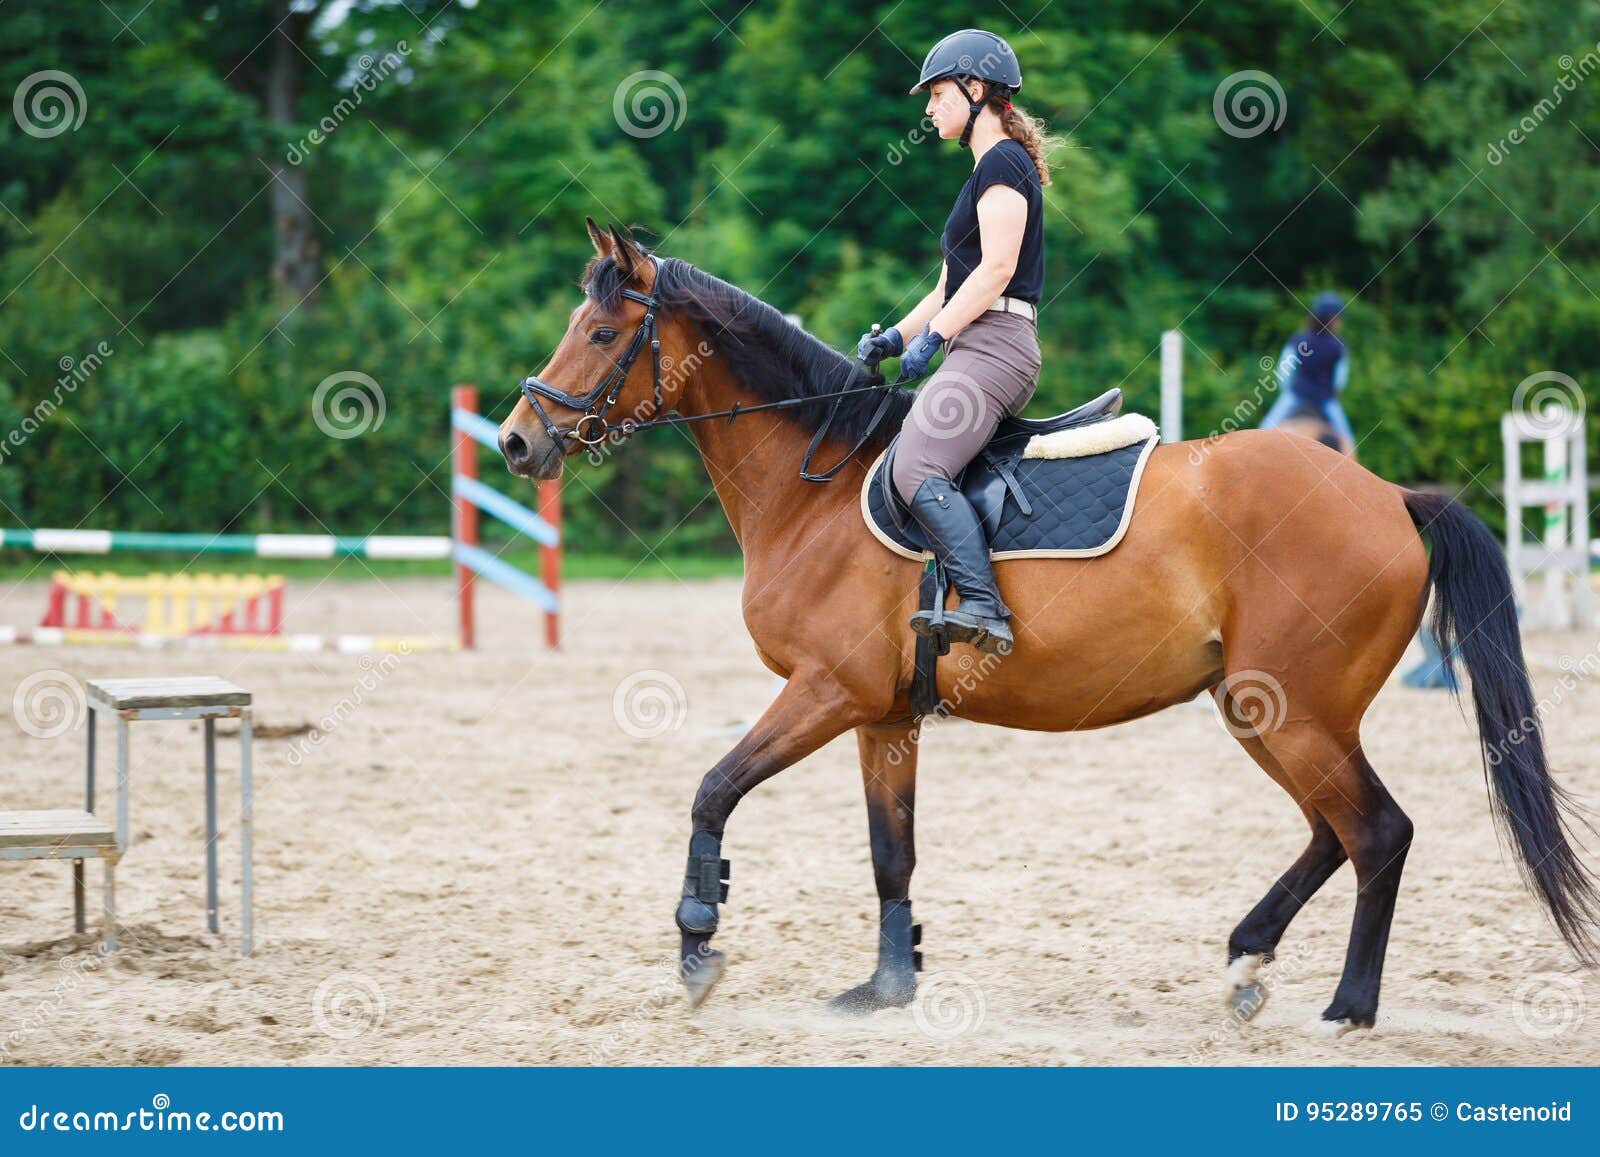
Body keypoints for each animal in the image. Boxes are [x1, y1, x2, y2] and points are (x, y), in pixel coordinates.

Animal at [497, 220, 1599, 1035]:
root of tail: (1391, 497)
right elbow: (891, 851)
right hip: (1267, 710)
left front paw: (696, 942)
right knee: (1336, 831)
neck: (821, 482)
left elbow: (712, 789)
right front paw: (888, 985)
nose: (516, 441)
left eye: (603, 335)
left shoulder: (823, 691)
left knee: (1375, 831)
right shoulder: (881, 714)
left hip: (1291, 712)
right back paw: (1249, 958)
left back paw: (1346, 1006)